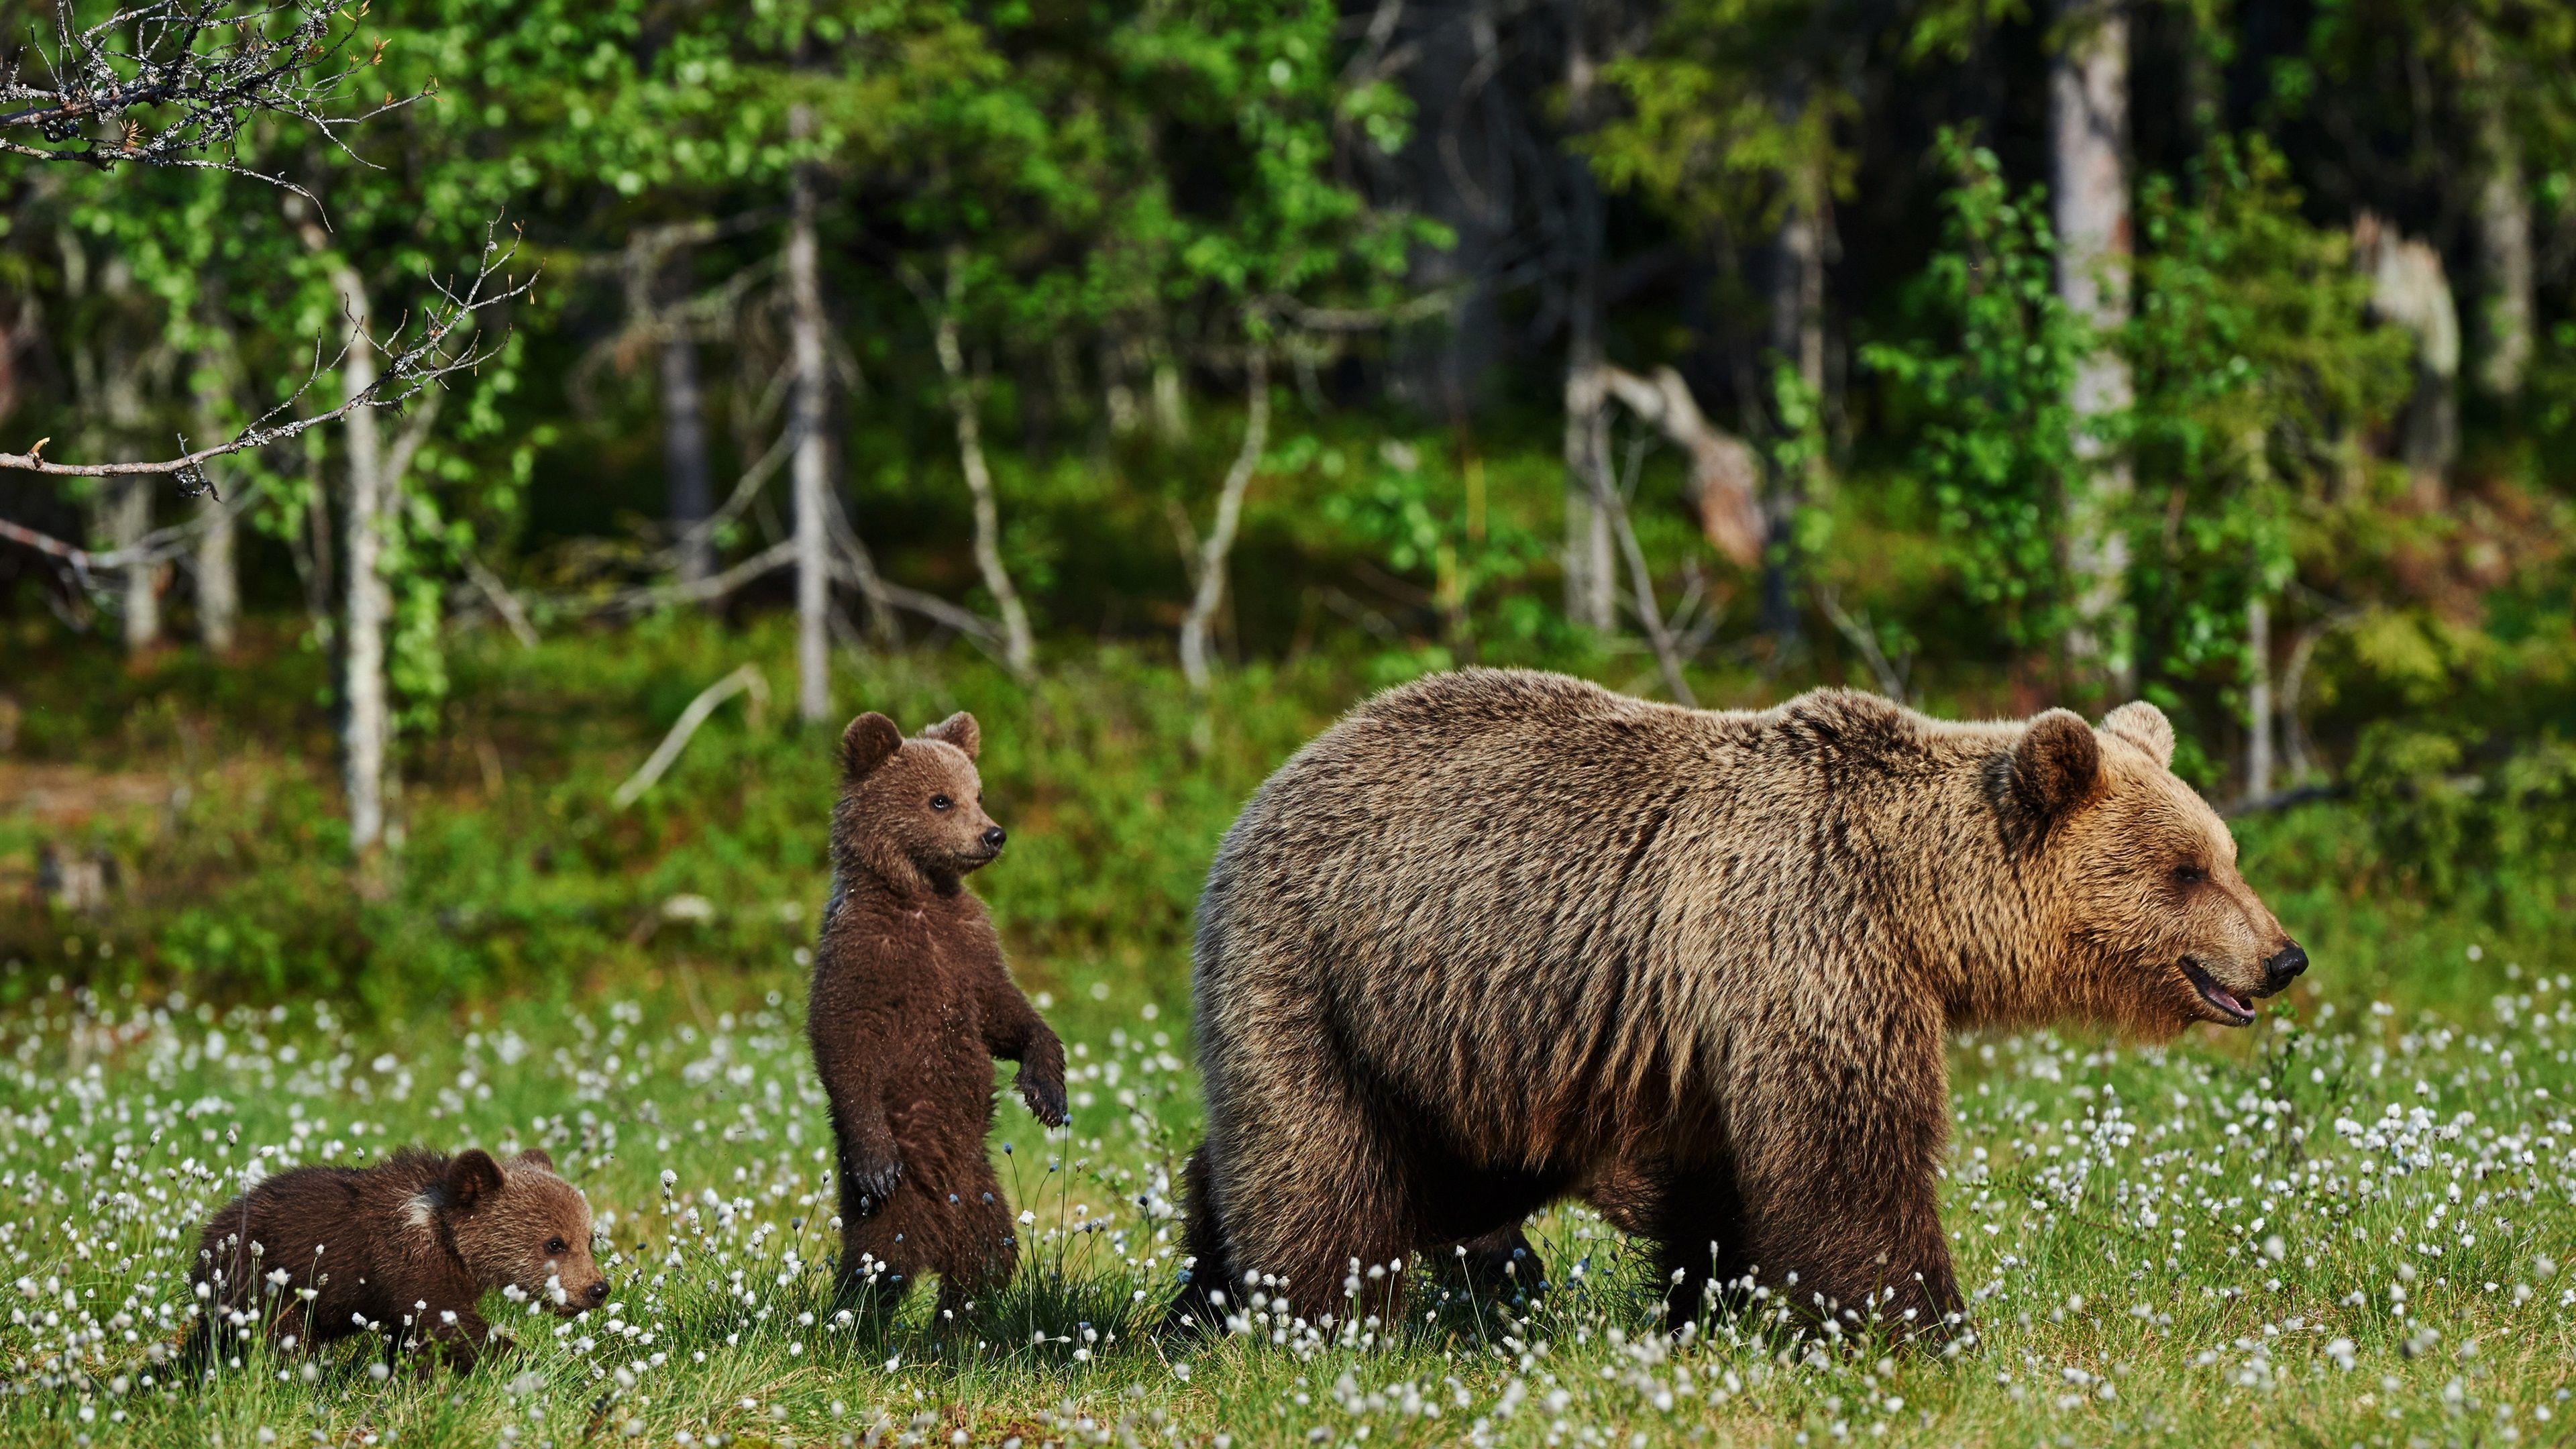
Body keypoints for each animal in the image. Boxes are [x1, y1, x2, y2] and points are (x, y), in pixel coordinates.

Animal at [190, 1147, 606, 1371]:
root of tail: (213, 1225)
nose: (598, 1288)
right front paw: (521, 1359)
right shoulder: (406, 1266)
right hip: (262, 1277)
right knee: (279, 1335)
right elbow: (446, 1325)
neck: (445, 1239)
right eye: (555, 1243)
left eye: (589, 1239)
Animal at [809, 710, 1068, 1319]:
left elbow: (1004, 1012)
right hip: (895, 1204)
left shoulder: (967, 946)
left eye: (978, 793)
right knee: (878, 1266)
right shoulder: (864, 955)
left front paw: (1046, 1088)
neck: (919, 896)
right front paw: (877, 1158)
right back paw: (858, 1322)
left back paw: (956, 1321)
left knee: (990, 1259)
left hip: (982, 1192)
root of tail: (937, 1235)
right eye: (939, 800)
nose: (993, 834)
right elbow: (842, 1038)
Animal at [1170, 669, 2306, 1340]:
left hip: (1463, 1045)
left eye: (2227, 856)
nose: (2282, 957)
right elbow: (1850, 1155)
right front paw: (1928, 1328)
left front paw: (1715, 1308)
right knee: (1322, 1166)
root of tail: (1273, 781)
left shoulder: (1706, 1024)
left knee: (1440, 1175)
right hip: (1324, 976)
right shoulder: (1805, 943)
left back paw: (1204, 1289)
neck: (1914, 902)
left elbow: (1723, 1182)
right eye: (2187, 871)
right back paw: (1309, 1319)